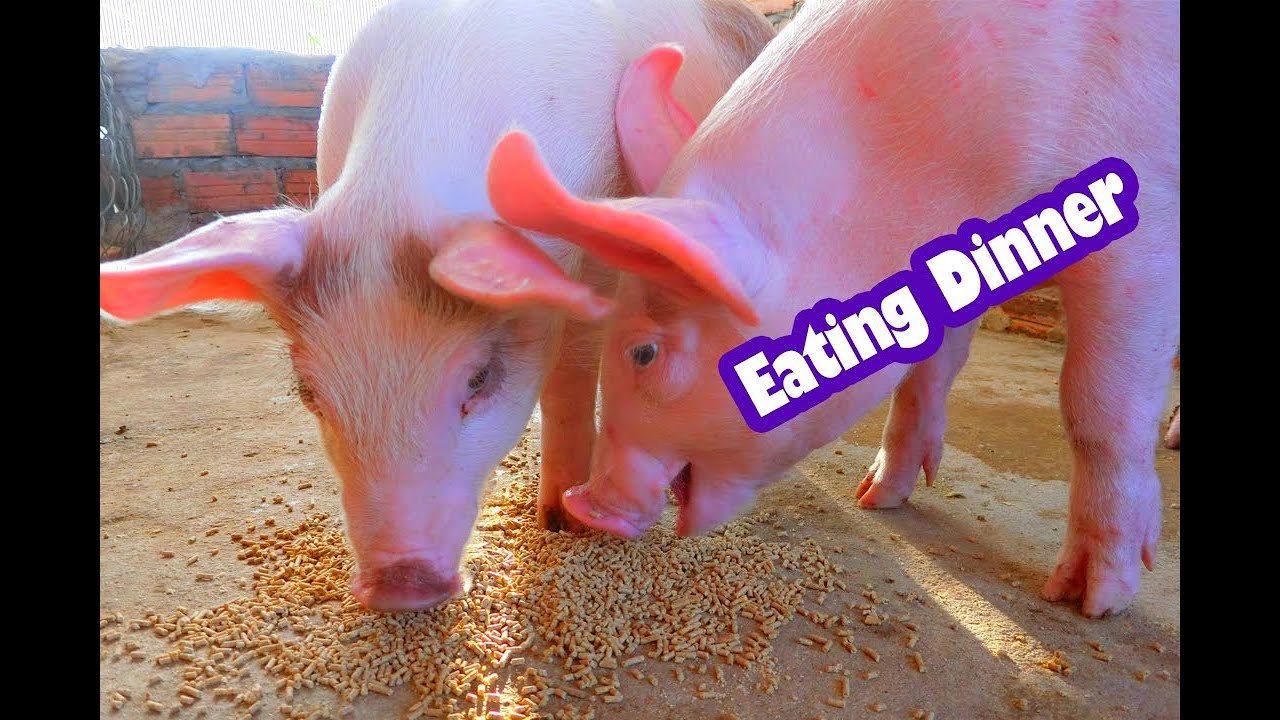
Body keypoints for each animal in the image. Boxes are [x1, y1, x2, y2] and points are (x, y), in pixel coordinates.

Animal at [485, 0, 1179, 617]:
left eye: (645, 352)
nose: (582, 503)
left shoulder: (1144, 204)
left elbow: (1098, 405)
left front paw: (1091, 601)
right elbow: (929, 366)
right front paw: (877, 499)